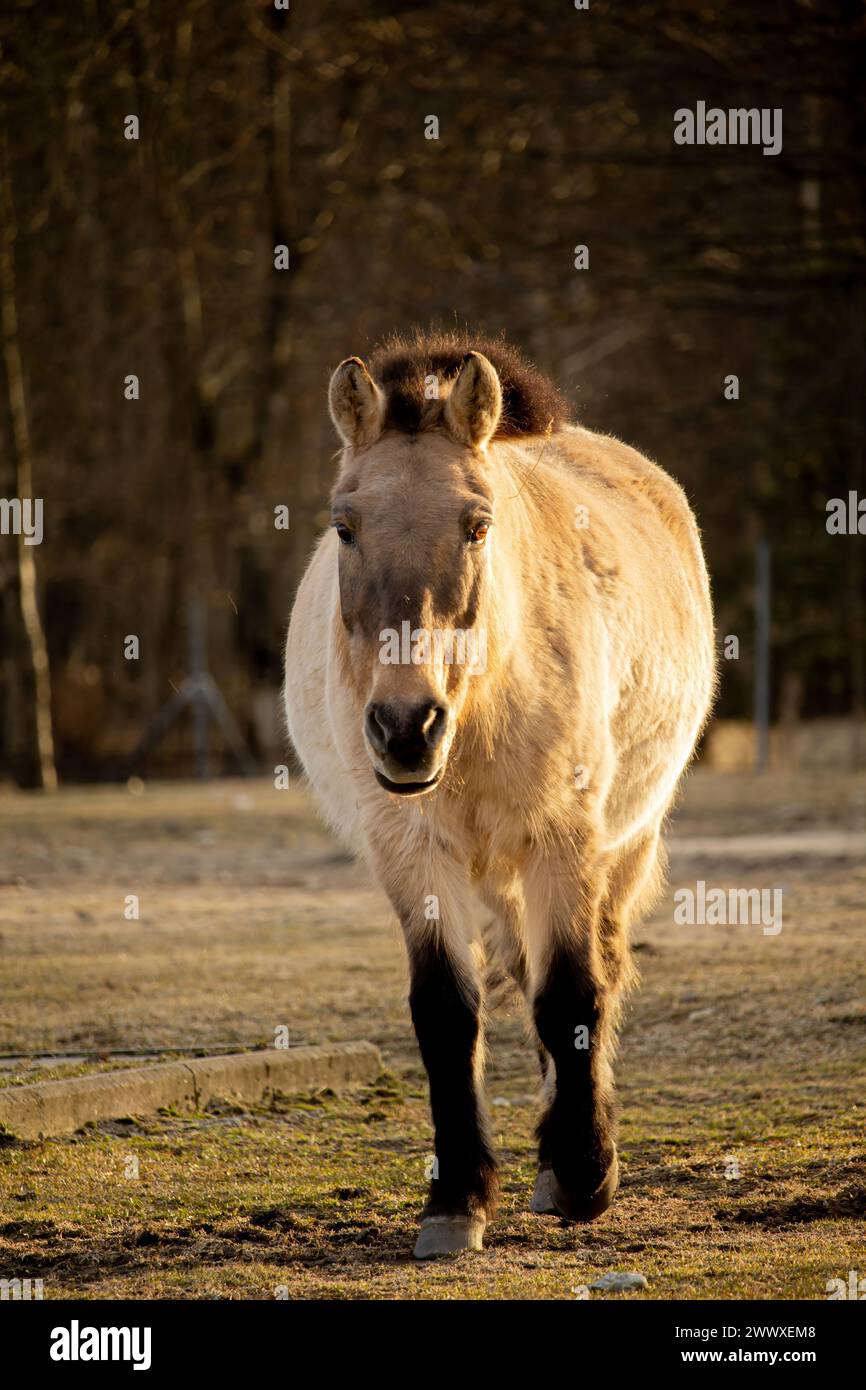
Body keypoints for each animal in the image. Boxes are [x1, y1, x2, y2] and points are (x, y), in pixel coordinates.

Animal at [284, 333, 717, 1262]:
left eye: (477, 524)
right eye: (344, 526)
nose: (406, 727)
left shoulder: (567, 839)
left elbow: (573, 995)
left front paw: (585, 1177)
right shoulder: (414, 856)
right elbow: (450, 1015)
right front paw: (456, 1202)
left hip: (621, 844)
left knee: (596, 968)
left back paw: (570, 1163)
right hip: (494, 874)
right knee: (519, 968)